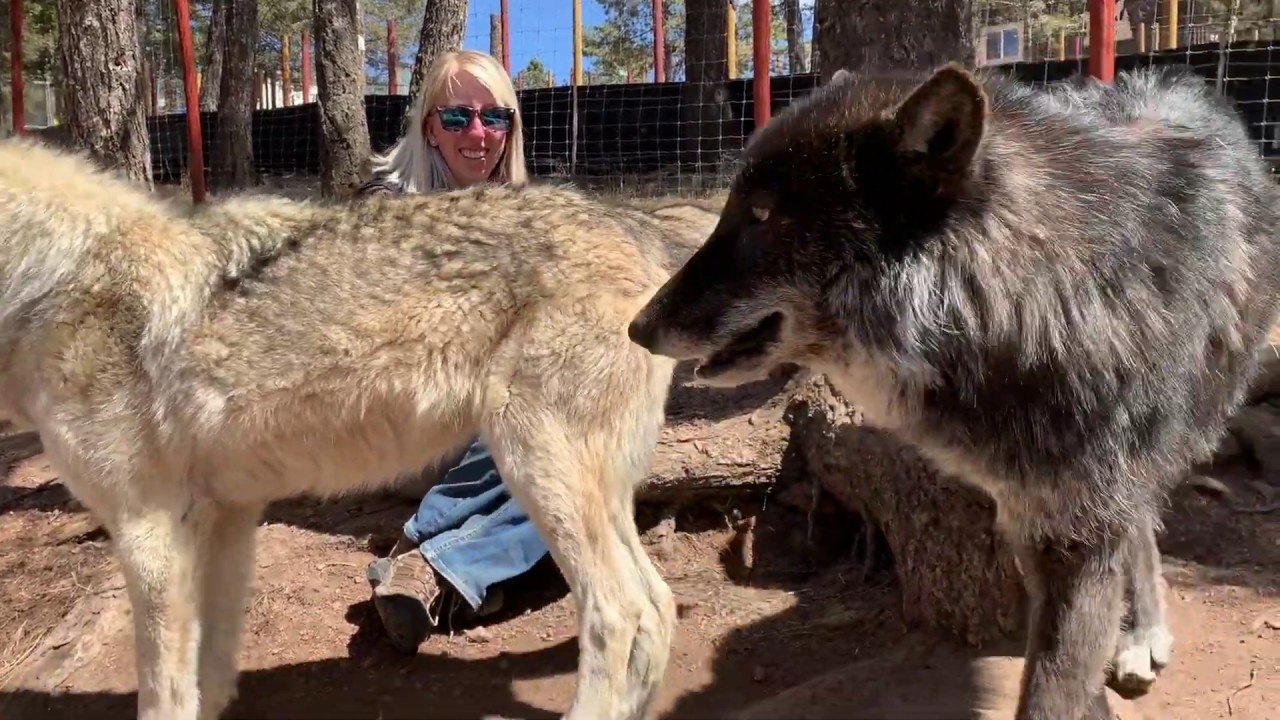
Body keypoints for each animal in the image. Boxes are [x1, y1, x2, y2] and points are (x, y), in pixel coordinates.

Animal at [0, 136, 703, 720]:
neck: (48, 284)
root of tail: (638, 221)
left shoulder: (147, 531)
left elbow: (163, 693)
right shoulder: (226, 517)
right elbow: (211, 665)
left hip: (532, 467)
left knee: (621, 613)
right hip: (587, 491)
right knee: (659, 607)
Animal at [628, 63, 1280, 720]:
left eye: (760, 214)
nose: (637, 328)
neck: (1047, 298)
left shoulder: (1079, 521)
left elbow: (1056, 678)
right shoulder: (1036, 514)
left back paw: (1146, 631)